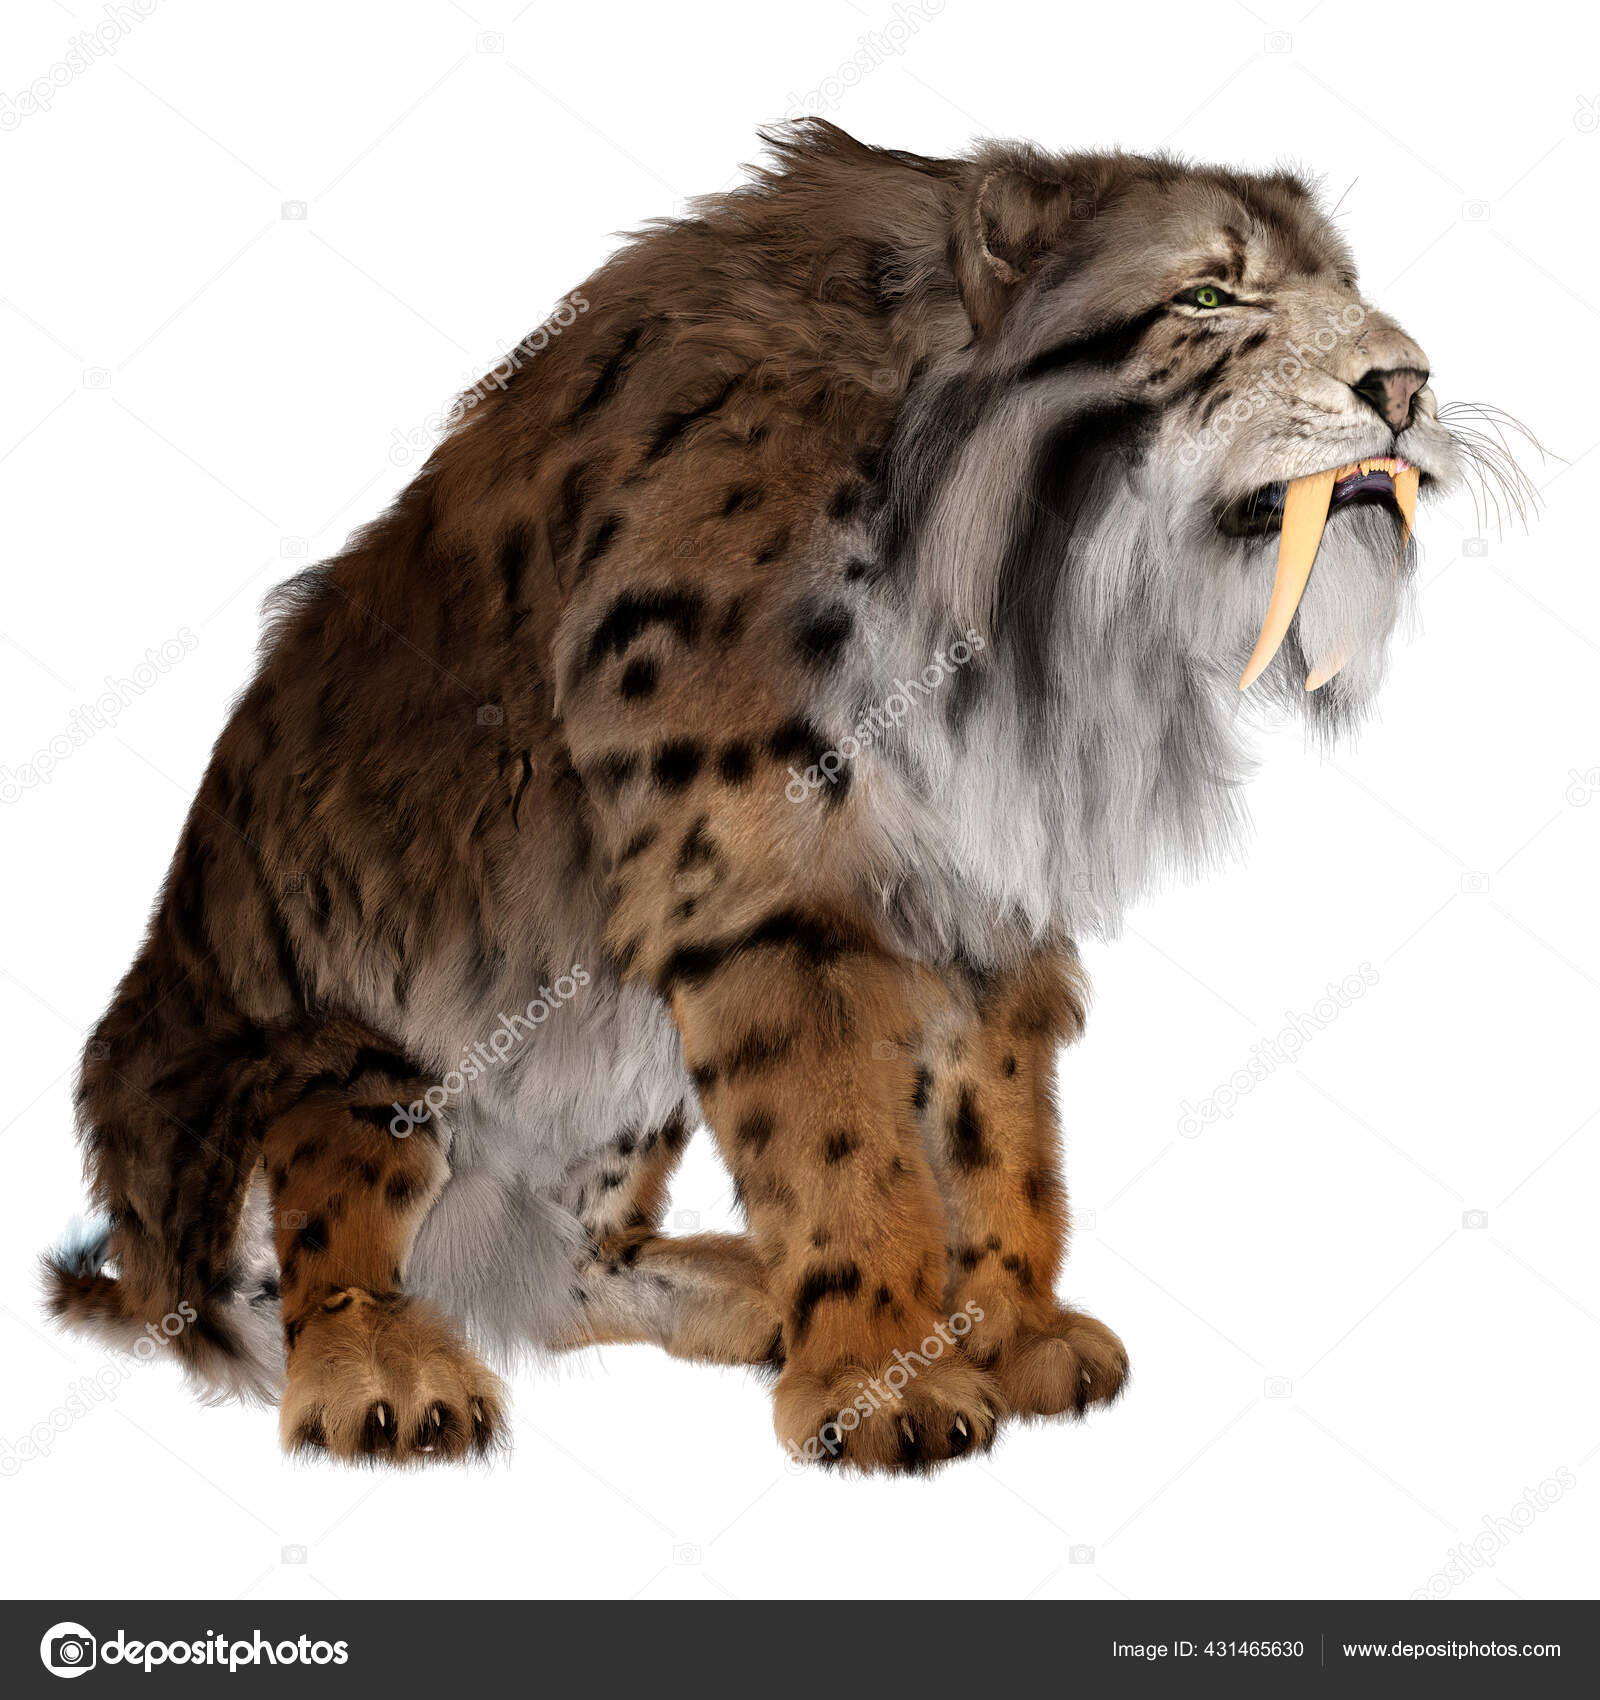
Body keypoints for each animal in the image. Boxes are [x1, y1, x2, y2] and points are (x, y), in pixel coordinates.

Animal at [43, 120, 1501, 1472]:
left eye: (1349, 285)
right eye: (1209, 296)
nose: (1410, 383)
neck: (1013, 576)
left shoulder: (983, 893)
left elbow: (999, 1142)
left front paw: (1004, 1334)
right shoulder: (768, 894)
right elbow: (845, 1157)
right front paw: (881, 1383)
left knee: (560, 1269)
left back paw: (726, 1293)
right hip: (349, 1059)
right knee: (298, 1282)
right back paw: (388, 1374)